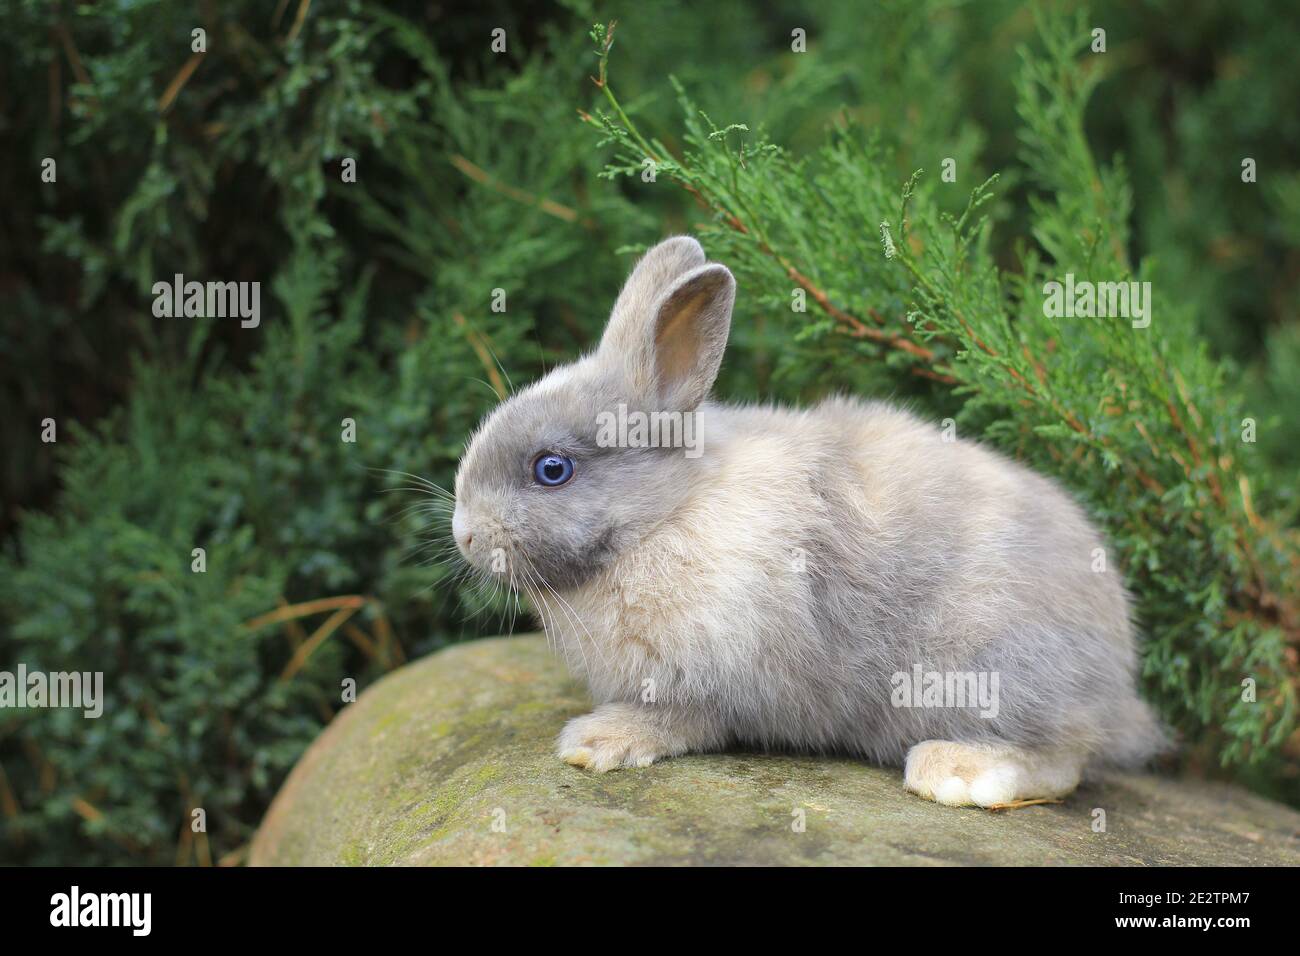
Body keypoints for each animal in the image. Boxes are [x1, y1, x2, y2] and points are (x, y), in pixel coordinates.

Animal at [450, 235, 1165, 807]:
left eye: (553, 469)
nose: (465, 534)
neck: (666, 516)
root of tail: (1117, 672)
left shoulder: (710, 682)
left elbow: (678, 722)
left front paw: (595, 742)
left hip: (996, 673)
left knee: (1062, 758)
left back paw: (955, 772)